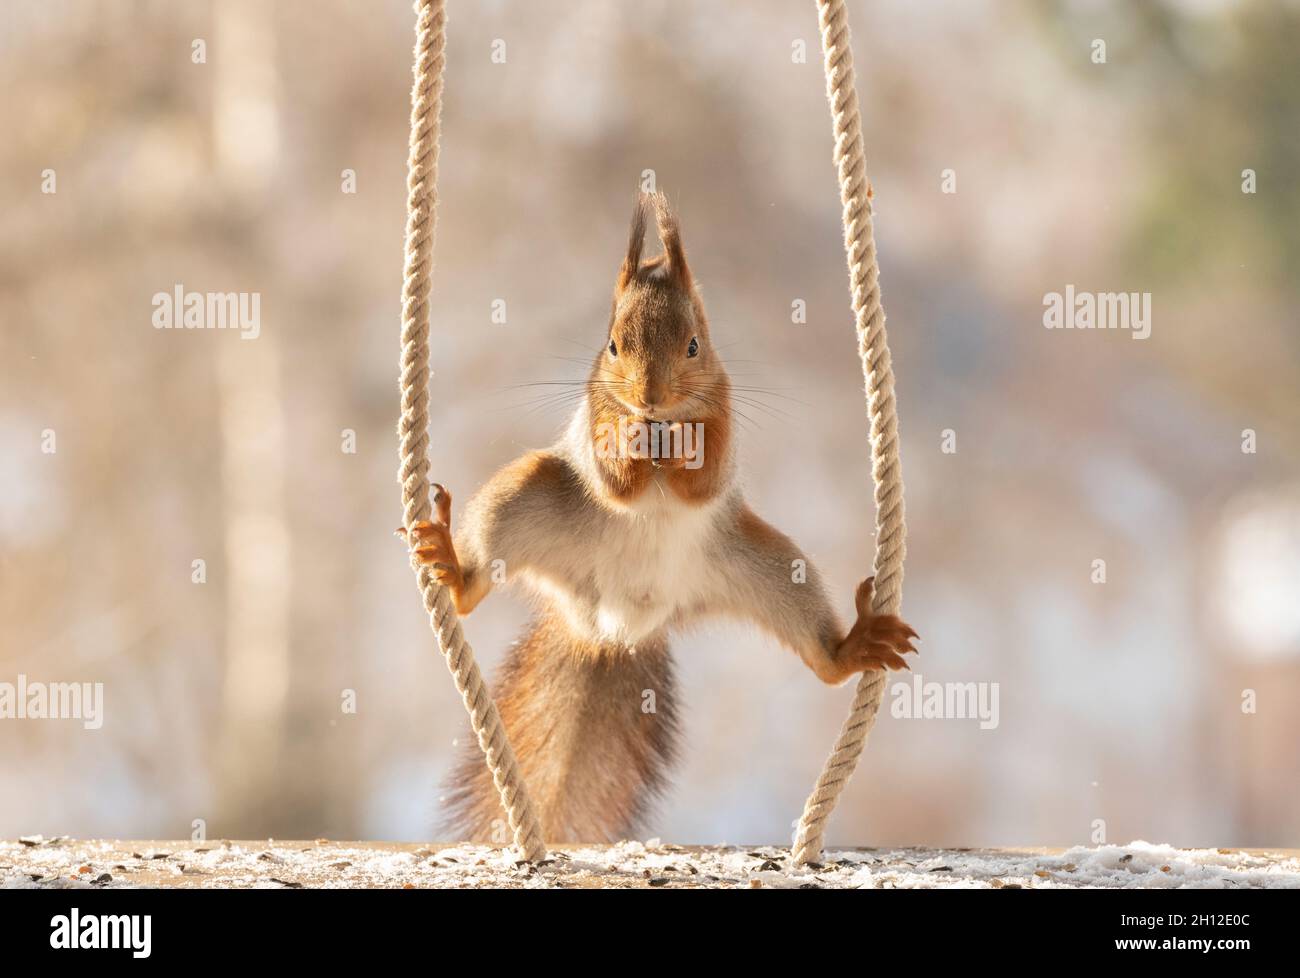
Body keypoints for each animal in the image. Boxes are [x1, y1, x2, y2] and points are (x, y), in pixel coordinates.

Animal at [399, 191, 918, 843]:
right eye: (613, 346)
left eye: (694, 345)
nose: (649, 400)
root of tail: (610, 631)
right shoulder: (595, 411)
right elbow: (615, 480)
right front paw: (633, 445)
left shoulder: (723, 412)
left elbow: (704, 477)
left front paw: (681, 449)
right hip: (520, 504)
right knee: (471, 588)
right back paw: (449, 561)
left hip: (770, 570)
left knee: (822, 660)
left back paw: (853, 646)